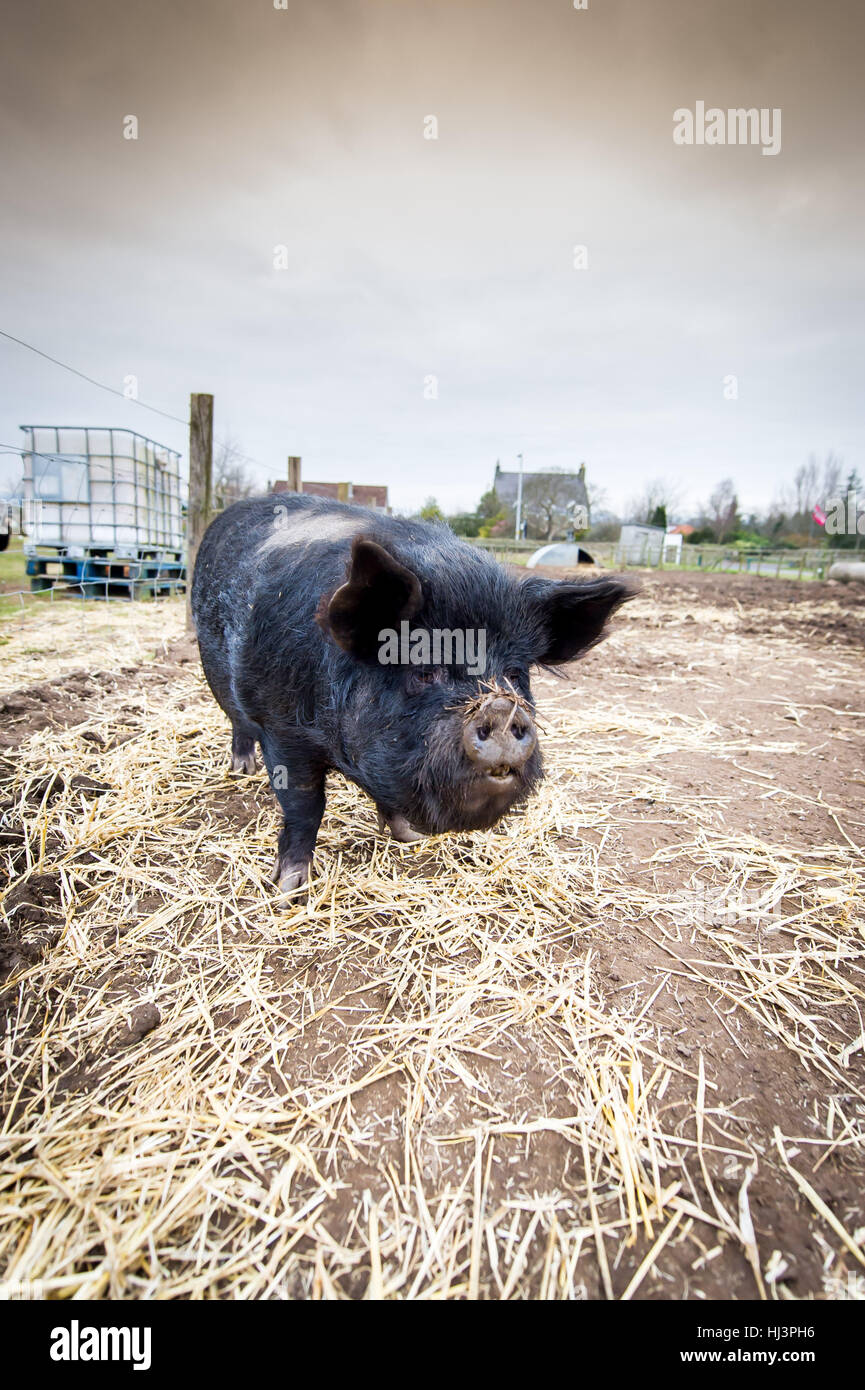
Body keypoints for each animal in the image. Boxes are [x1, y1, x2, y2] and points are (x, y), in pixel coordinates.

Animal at [191, 494, 630, 896]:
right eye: (424, 671)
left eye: (513, 674)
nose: (500, 708)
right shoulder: (282, 730)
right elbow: (304, 805)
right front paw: (290, 888)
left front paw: (409, 838)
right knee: (237, 722)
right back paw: (242, 770)